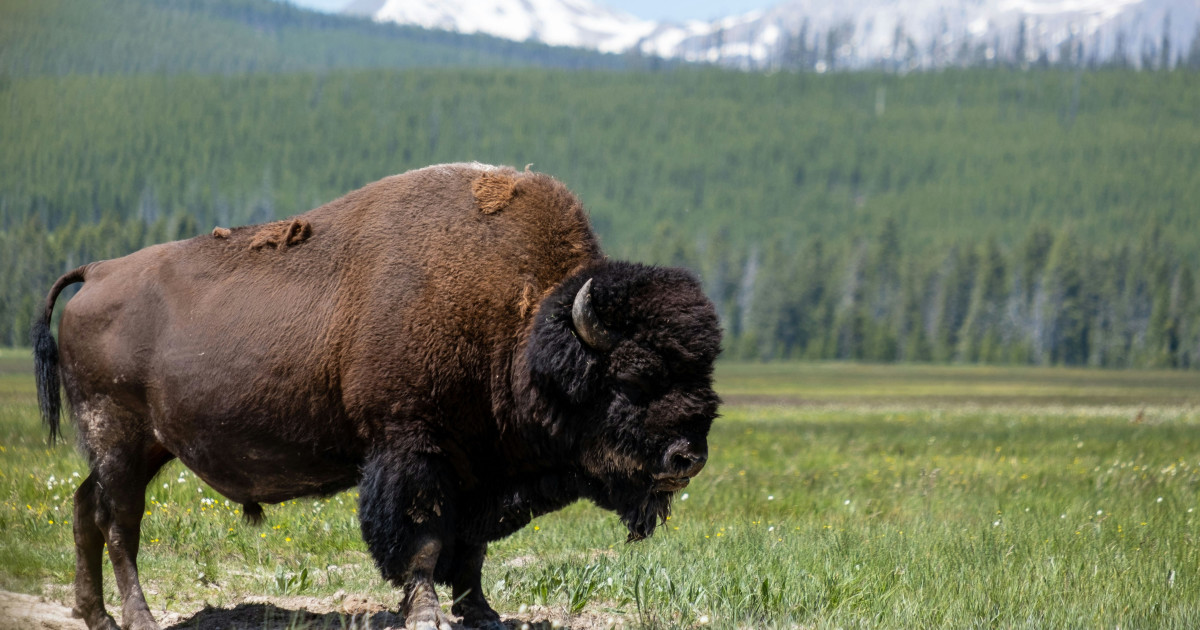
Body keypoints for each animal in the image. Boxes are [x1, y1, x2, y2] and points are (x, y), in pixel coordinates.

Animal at [32, 163, 722, 630]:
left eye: (705, 373)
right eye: (632, 378)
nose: (687, 458)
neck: (522, 327)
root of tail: (97, 272)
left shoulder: (481, 470)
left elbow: (471, 549)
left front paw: (483, 613)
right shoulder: (411, 449)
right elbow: (424, 541)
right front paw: (426, 614)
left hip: (142, 448)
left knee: (85, 507)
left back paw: (96, 616)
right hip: (118, 436)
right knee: (119, 523)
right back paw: (139, 618)